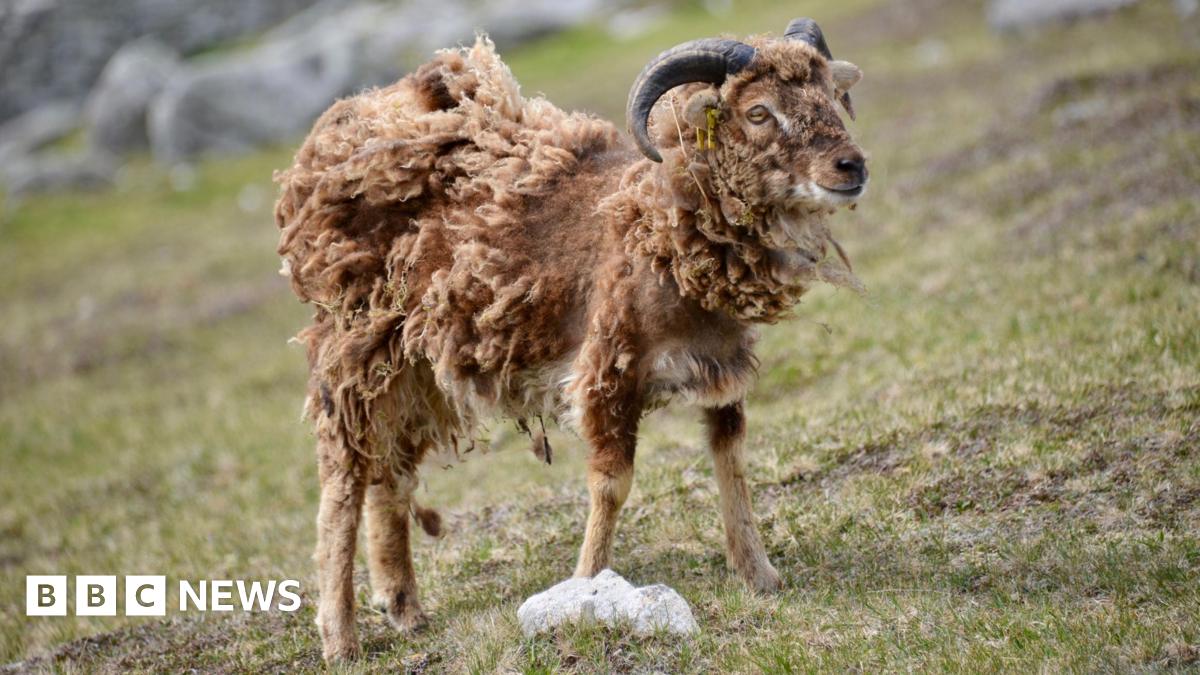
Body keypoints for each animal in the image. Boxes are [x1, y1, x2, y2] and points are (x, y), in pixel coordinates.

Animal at [274, 17, 868, 661]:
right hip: (354, 349)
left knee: (390, 474)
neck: (658, 227)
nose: (851, 166)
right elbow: (612, 485)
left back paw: (405, 609)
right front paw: (586, 587)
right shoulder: (608, 372)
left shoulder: (721, 370)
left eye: (832, 94)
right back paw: (340, 638)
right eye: (758, 111)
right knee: (342, 482)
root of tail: (337, 130)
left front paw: (760, 576)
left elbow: (730, 461)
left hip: (413, 367)